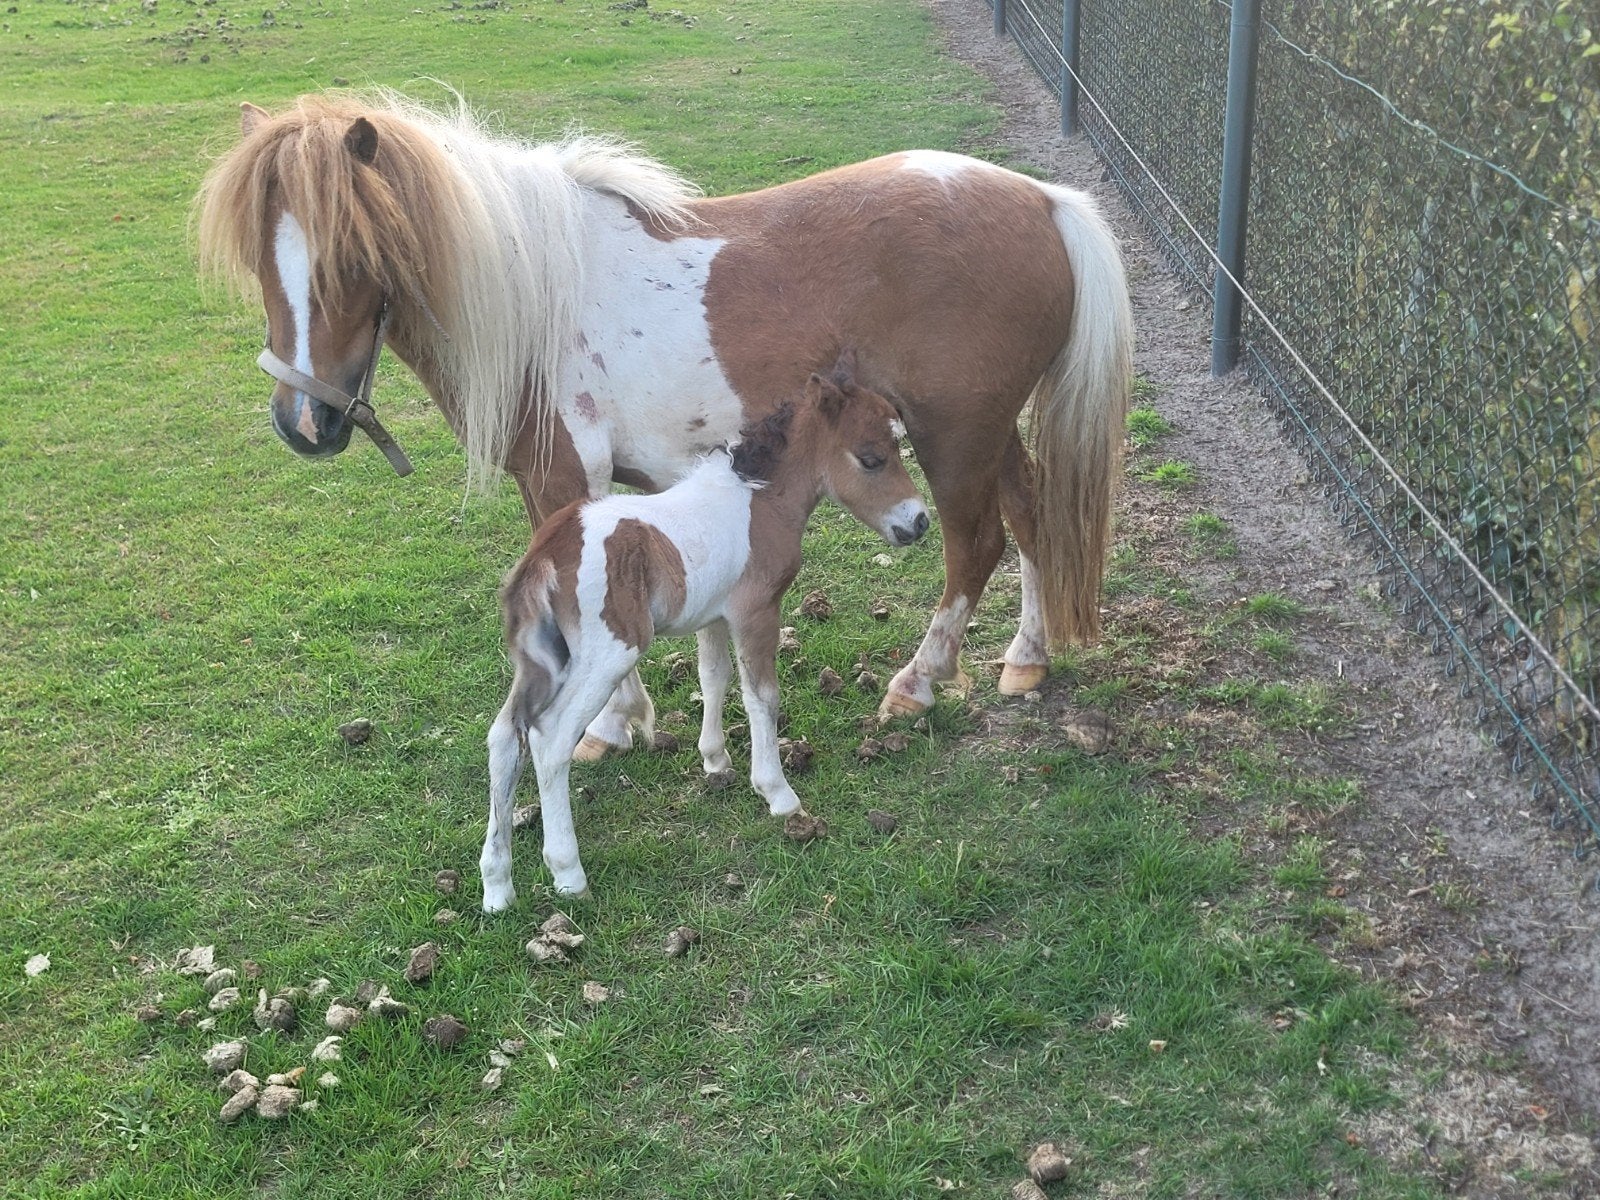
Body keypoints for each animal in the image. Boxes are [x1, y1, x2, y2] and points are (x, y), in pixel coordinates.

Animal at [196, 91, 1133, 748]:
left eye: (355, 255)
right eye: (259, 260)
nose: (303, 422)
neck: (537, 292)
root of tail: (1043, 199)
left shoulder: (565, 479)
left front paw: (610, 726)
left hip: (954, 437)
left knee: (976, 545)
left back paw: (919, 681)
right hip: (989, 433)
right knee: (1031, 516)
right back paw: (1026, 659)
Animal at [480, 357, 928, 905]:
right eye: (870, 458)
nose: (919, 521)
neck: (757, 499)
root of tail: (547, 552)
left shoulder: (714, 616)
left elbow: (713, 678)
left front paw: (715, 760)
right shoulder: (756, 612)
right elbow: (762, 697)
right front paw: (777, 792)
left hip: (546, 658)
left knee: (505, 737)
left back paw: (497, 886)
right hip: (608, 655)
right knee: (550, 740)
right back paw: (567, 872)